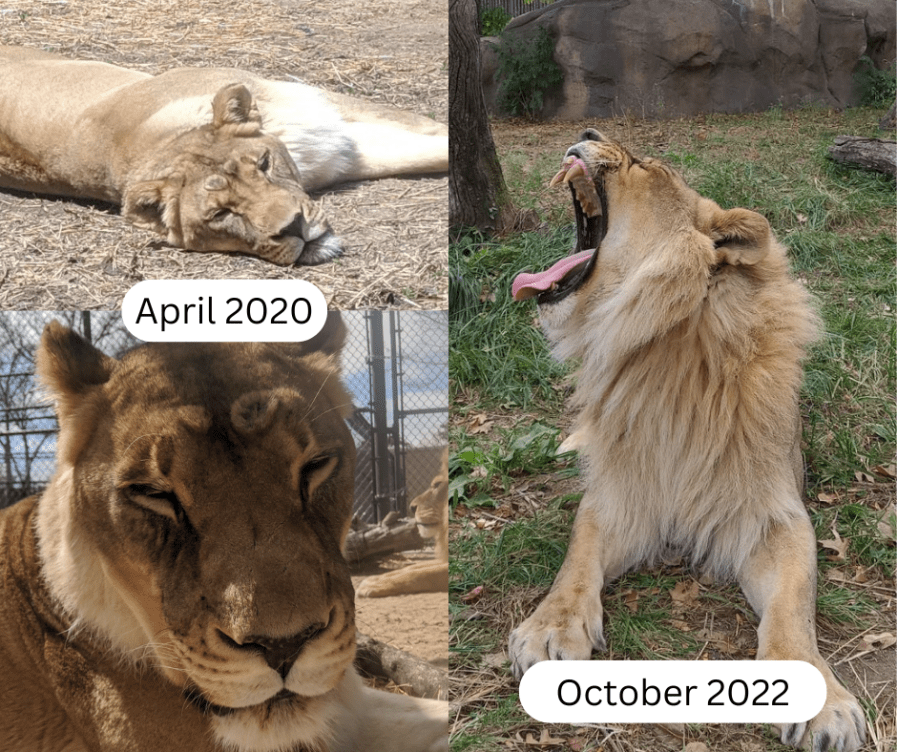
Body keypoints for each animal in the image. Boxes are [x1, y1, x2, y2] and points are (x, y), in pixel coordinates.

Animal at [356, 449, 449, 598]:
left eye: (437, 484)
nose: (412, 507)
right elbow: (412, 567)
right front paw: (375, 579)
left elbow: (422, 573)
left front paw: (376, 585)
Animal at [509, 131, 866, 751]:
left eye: (646, 165)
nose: (591, 135)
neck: (662, 343)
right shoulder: (621, 494)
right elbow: (576, 559)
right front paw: (551, 628)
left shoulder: (772, 516)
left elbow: (793, 605)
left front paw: (822, 699)